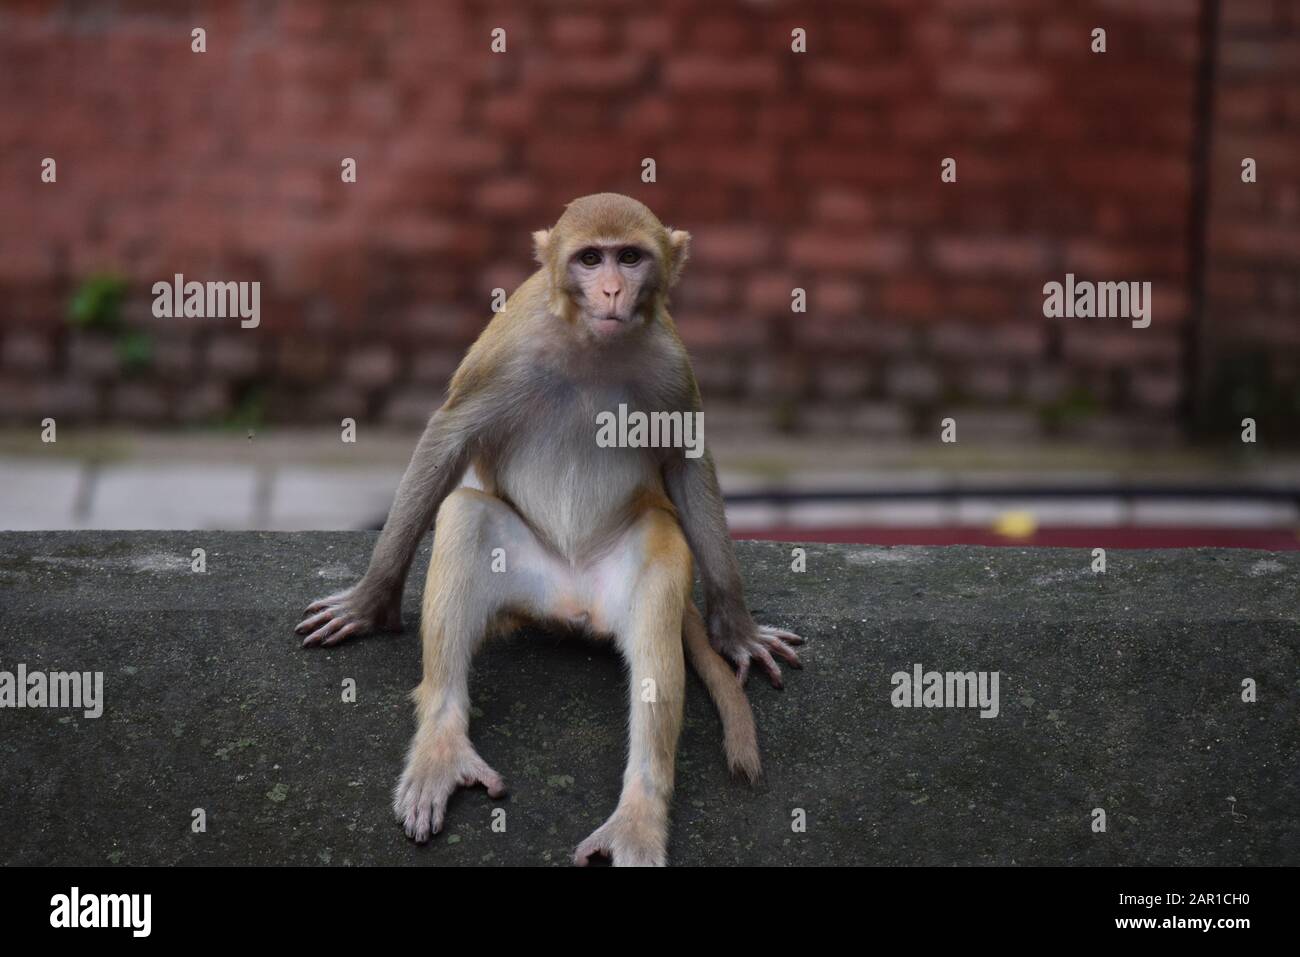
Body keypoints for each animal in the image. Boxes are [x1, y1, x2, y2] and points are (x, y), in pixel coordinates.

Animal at [295, 193, 802, 866]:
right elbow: (449, 436)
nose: (612, 289)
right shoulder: (507, 347)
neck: (590, 343)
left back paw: (638, 814)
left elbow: (686, 463)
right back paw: (441, 749)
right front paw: (371, 600)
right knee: (465, 514)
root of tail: (569, 604)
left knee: (663, 568)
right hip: (523, 586)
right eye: (590, 259)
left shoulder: (671, 364)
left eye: (630, 257)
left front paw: (737, 629)